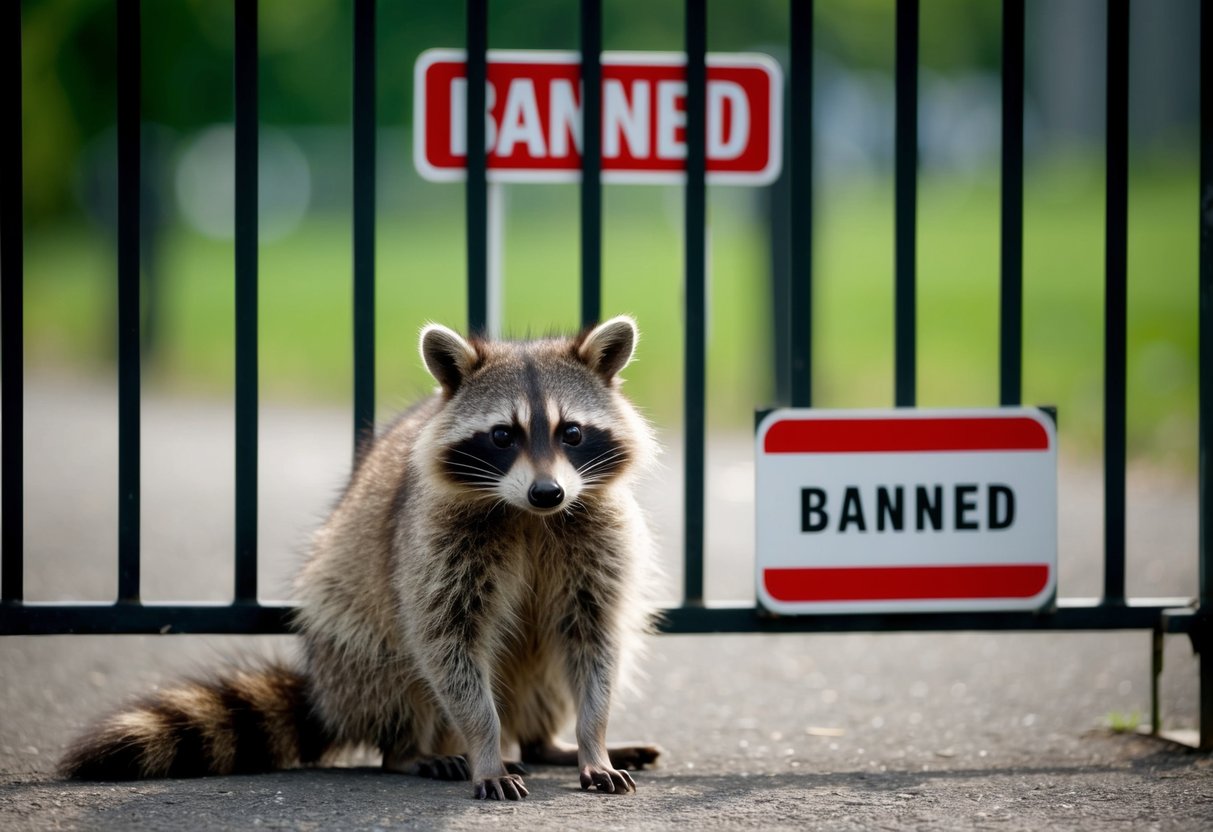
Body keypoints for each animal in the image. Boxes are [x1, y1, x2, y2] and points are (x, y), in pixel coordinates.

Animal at [61, 316, 662, 800]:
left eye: (572, 432)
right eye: (501, 436)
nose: (547, 493)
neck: (526, 516)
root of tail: (330, 695)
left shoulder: (595, 533)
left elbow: (596, 638)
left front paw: (592, 739)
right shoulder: (433, 545)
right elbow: (447, 644)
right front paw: (486, 746)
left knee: (549, 673)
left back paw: (545, 742)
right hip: (353, 646)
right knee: (399, 673)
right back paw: (413, 750)